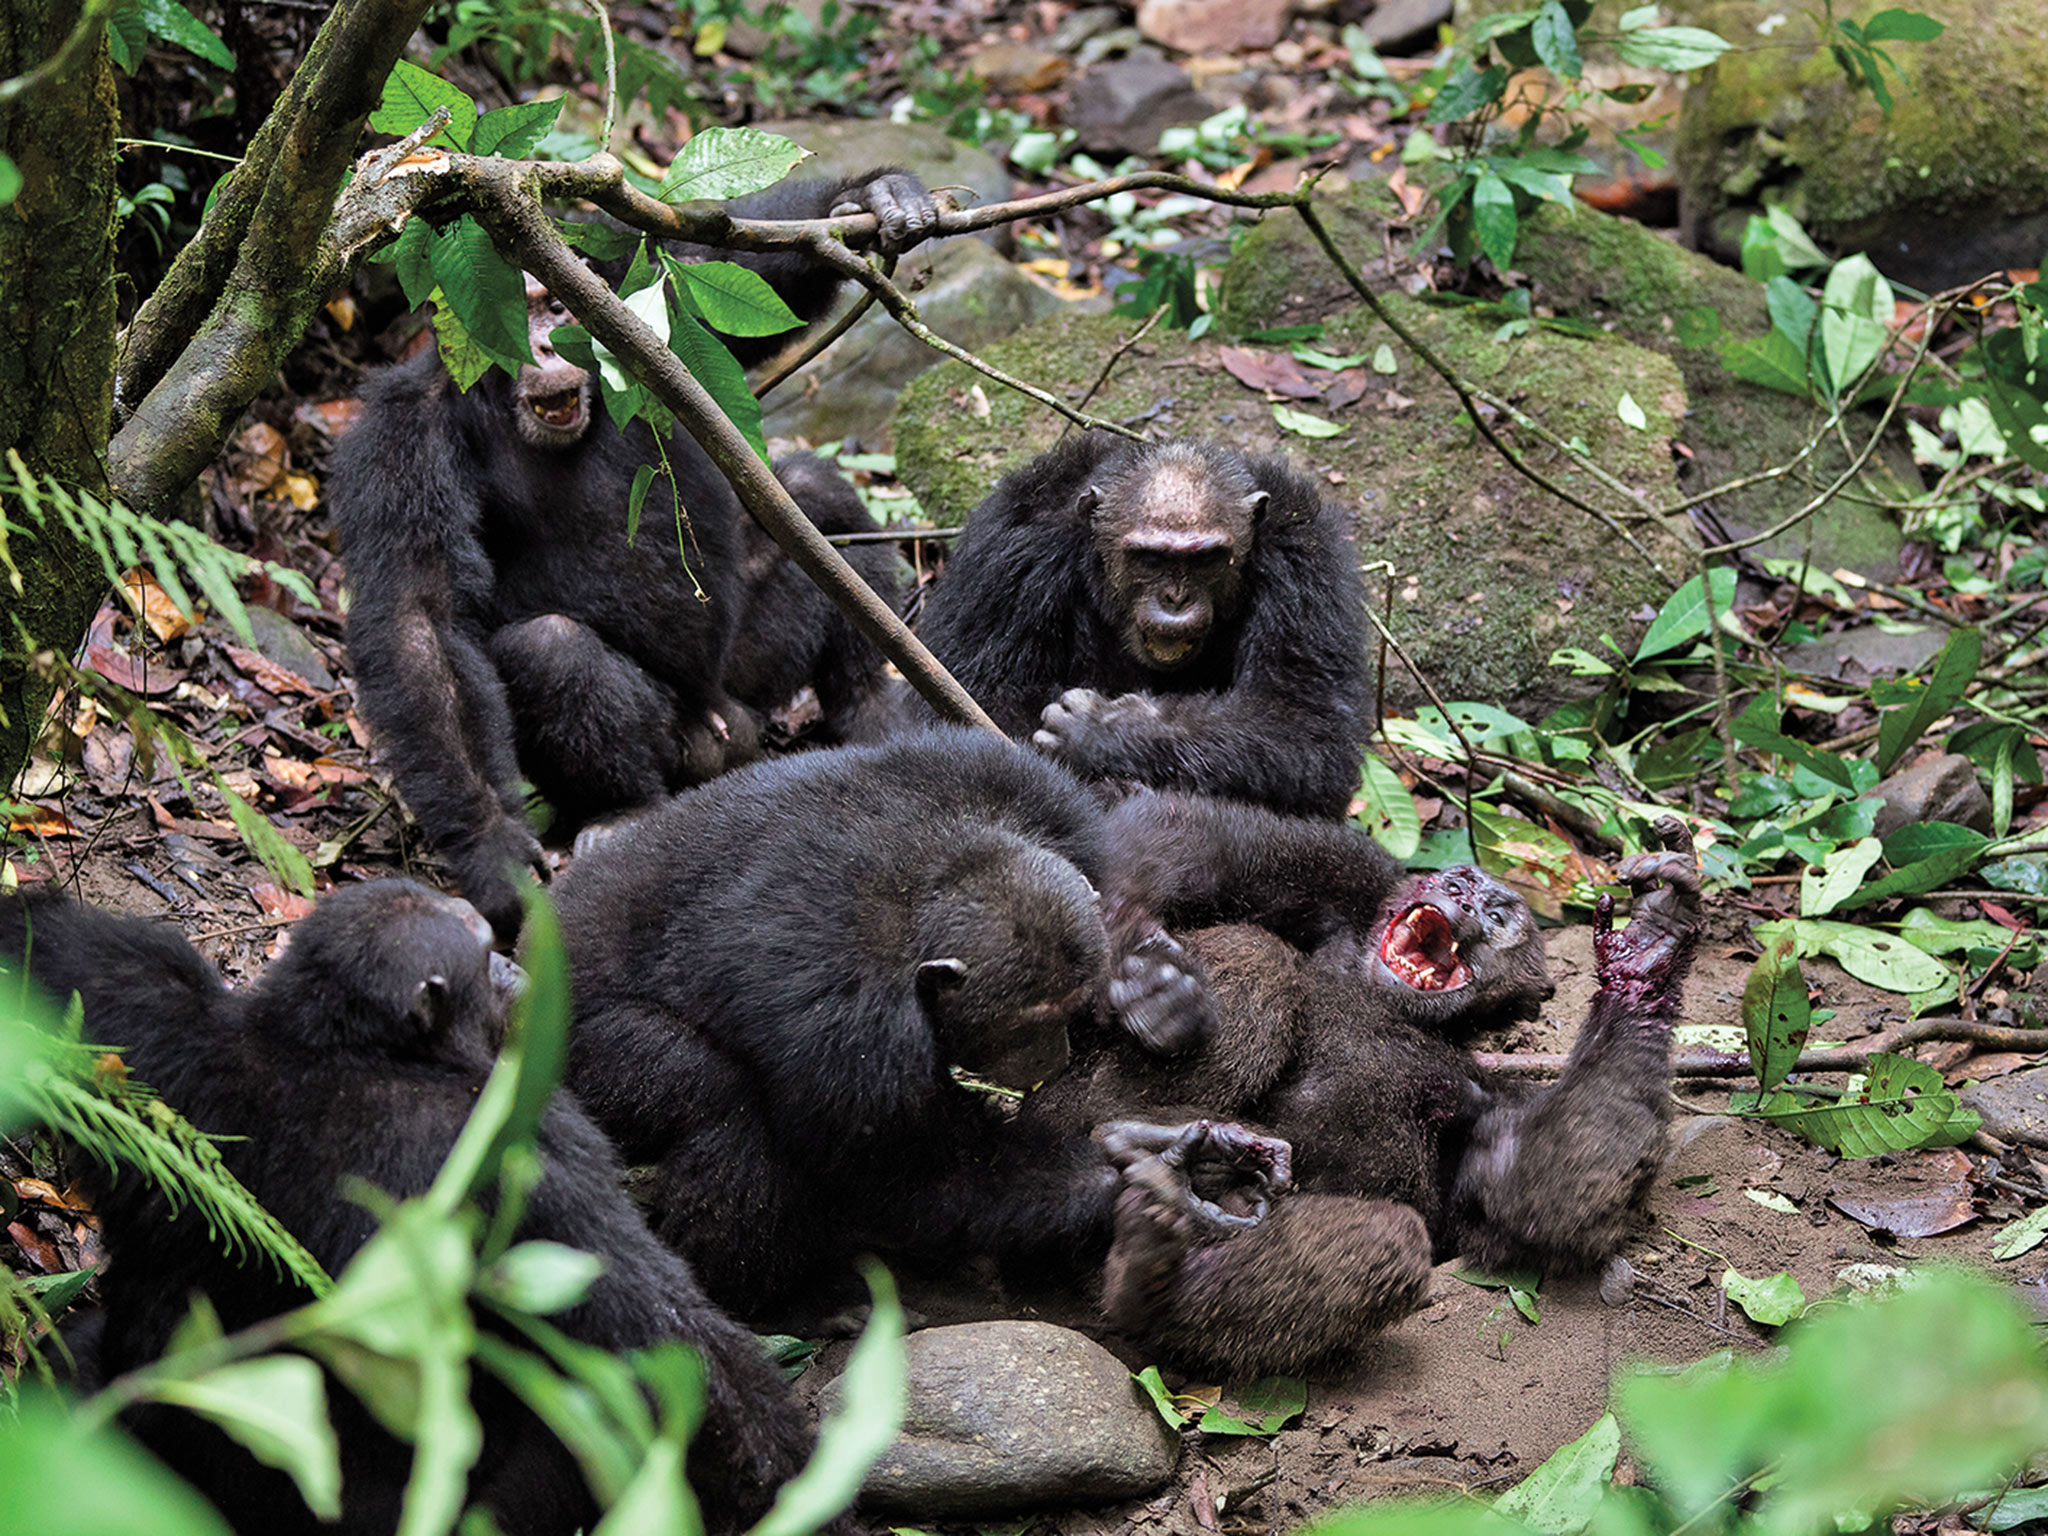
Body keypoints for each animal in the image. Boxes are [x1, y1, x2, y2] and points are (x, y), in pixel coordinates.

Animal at [8, 884, 823, 1536]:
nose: (514, 967)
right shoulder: (534, 1151)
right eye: (484, 950)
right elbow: (658, 1336)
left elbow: (45, 939)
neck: (345, 1051)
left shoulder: (153, 998)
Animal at [327, 167, 929, 937]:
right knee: (549, 651)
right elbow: (419, 617)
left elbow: (719, 273)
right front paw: (495, 853)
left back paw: (869, 707)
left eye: (555, 304)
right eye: (511, 314)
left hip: (748, 671)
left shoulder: (633, 308)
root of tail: (723, 730)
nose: (546, 346)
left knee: (811, 493)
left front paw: (869, 199)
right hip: (674, 738)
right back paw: (624, 812)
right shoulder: (399, 439)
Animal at [552, 729, 1261, 1318]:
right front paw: (1143, 1173)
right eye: (1022, 1025)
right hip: (580, 1052)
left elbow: (1111, 875)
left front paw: (1152, 985)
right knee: (729, 1110)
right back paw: (781, 1301)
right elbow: (917, 1177)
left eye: (1068, 1007)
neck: (933, 865)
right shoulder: (847, 1036)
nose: (1053, 1054)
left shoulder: (1026, 787)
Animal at [905, 434, 1368, 819]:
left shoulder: (1305, 557)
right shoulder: (1007, 553)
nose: (1175, 599)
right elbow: (973, 702)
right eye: (1150, 558)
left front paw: (1100, 732)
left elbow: (1301, 720)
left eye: (1206, 559)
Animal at [1032, 806, 1703, 1384]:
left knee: (1391, 1241)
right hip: (1064, 1104)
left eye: (1499, 916)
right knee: (1257, 952)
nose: (1468, 894)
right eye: (1457, 880)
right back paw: (1141, 1135)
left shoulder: (1488, 1099)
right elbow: (1186, 838)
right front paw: (1141, 960)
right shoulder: (1345, 873)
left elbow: (1549, 1189)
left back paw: (1150, 1265)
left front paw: (1653, 946)